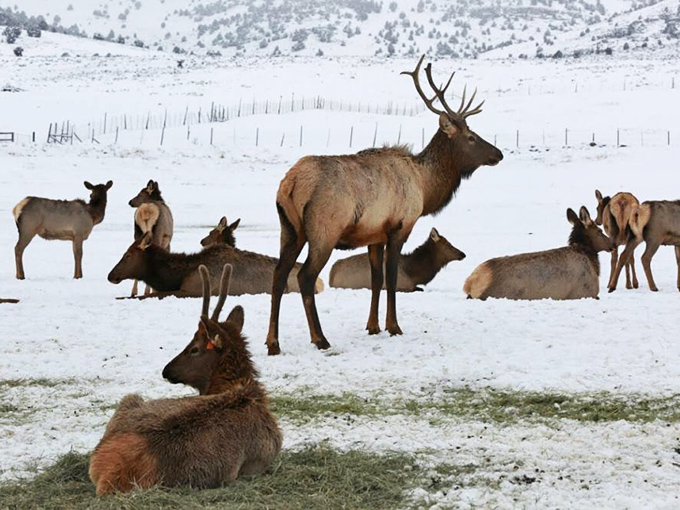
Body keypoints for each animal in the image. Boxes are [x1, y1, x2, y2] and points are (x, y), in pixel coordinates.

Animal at [90, 264, 282, 495]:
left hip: (127, 402)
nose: (166, 371)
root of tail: (107, 474)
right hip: (130, 398)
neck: (234, 387)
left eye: (194, 349)